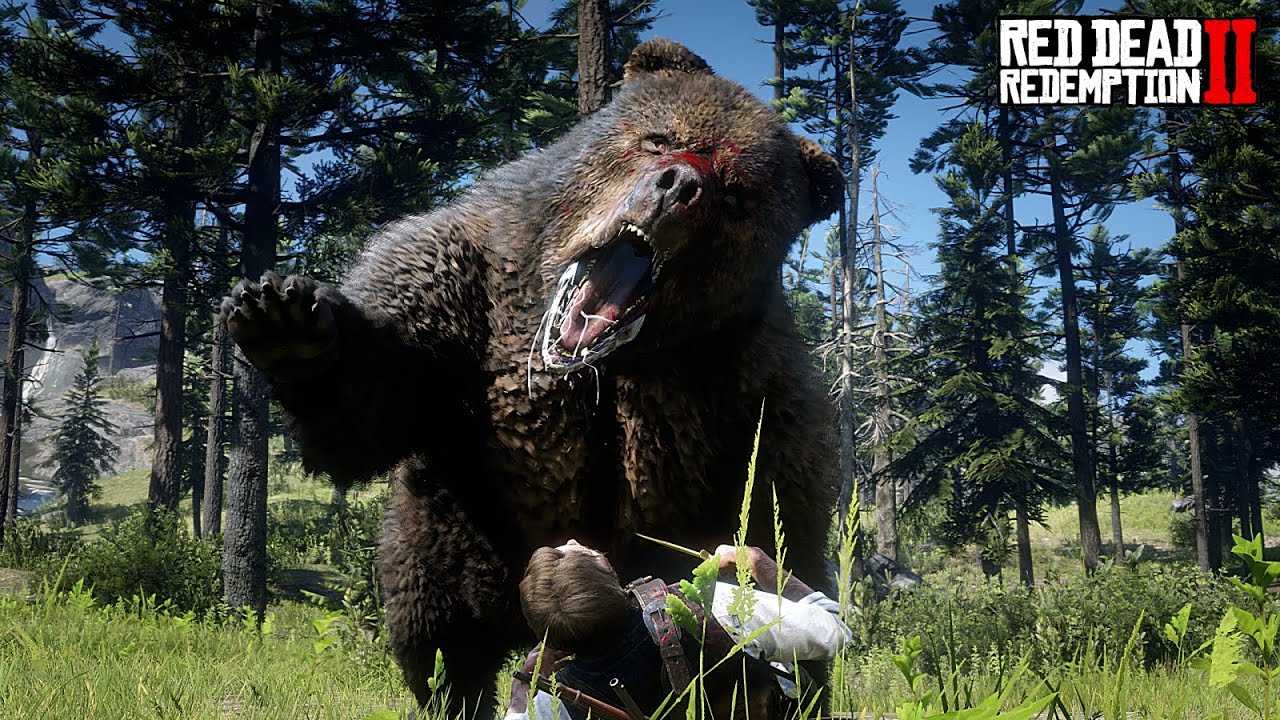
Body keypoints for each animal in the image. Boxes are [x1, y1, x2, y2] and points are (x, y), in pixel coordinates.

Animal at [221, 38, 841, 712]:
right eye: (660, 138)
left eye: (737, 193)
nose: (678, 187)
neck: (593, 363)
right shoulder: (462, 287)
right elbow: (363, 416)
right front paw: (286, 325)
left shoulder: (749, 395)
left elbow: (768, 511)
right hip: (451, 542)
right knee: (440, 643)